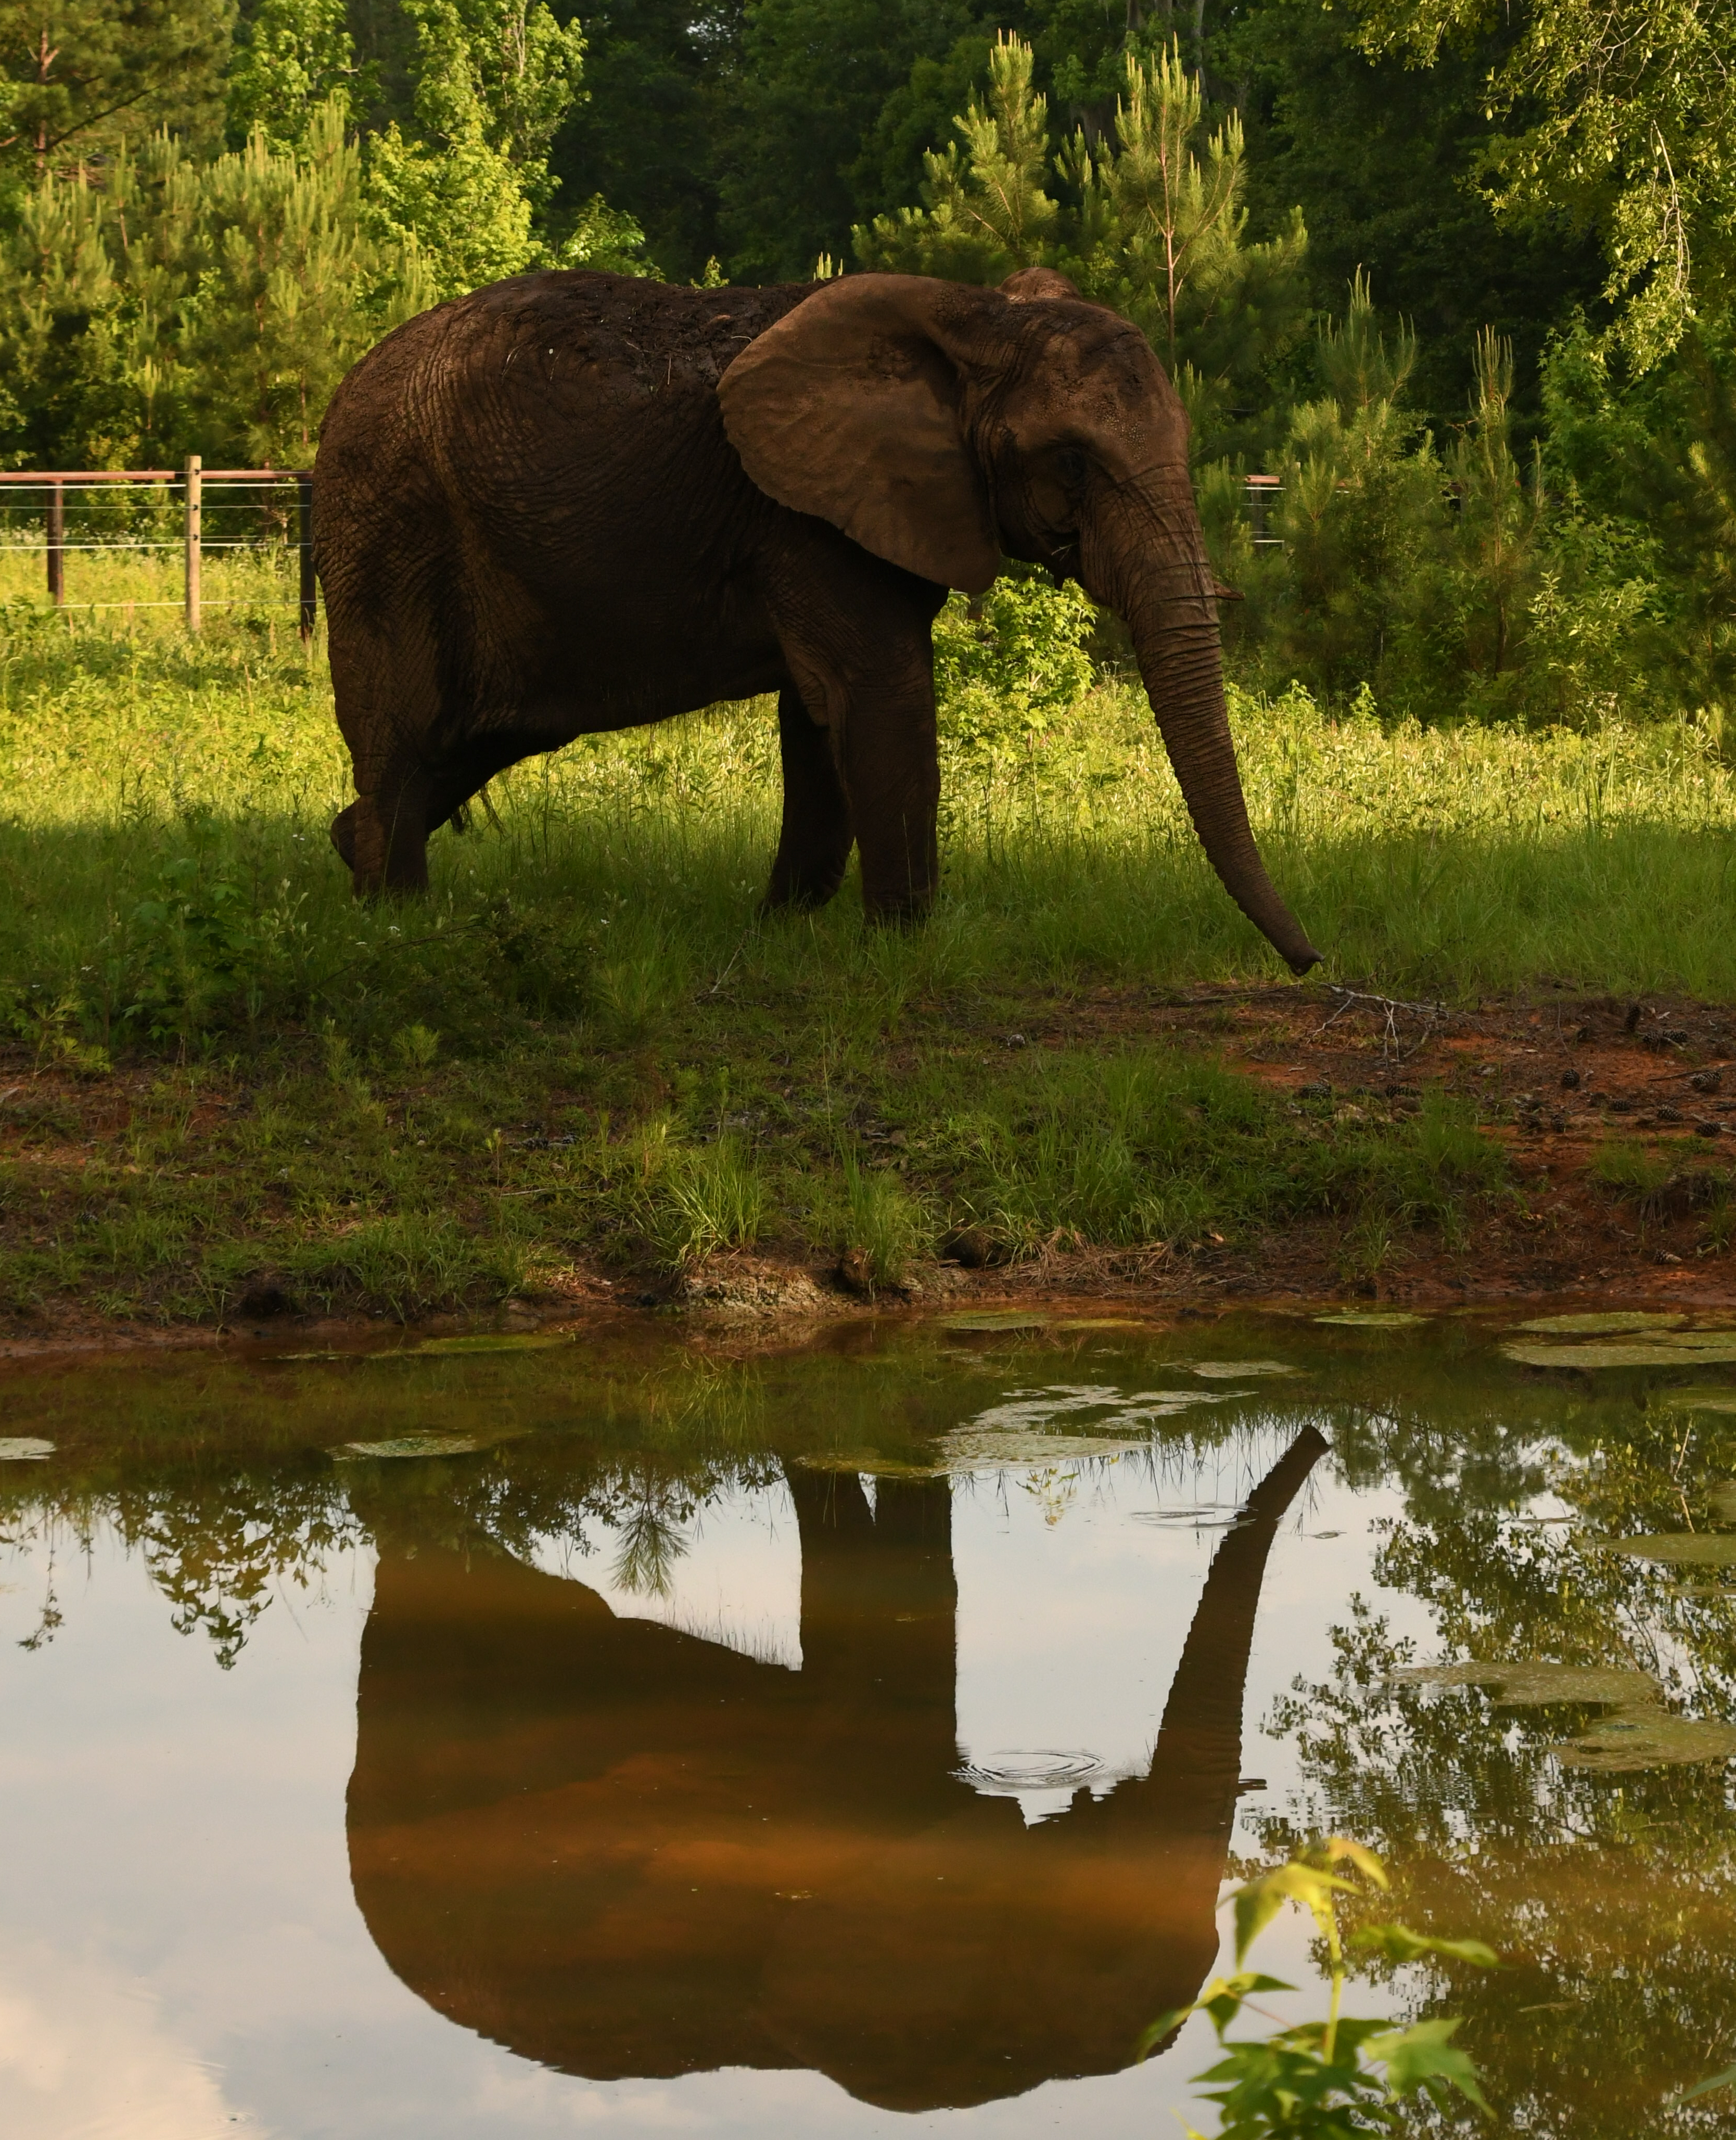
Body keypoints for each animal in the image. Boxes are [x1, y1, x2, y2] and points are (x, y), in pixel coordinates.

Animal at [314, 264, 1321, 974]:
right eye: (1072, 461)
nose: (1311, 963)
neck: (973, 321)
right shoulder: (804, 517)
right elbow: (879, 696)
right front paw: (902, 949)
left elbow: (819, 715)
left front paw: (780, 934)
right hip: (388, 527)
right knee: (407, 735)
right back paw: (392, 921)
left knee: (467, 740)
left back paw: (350, 855)